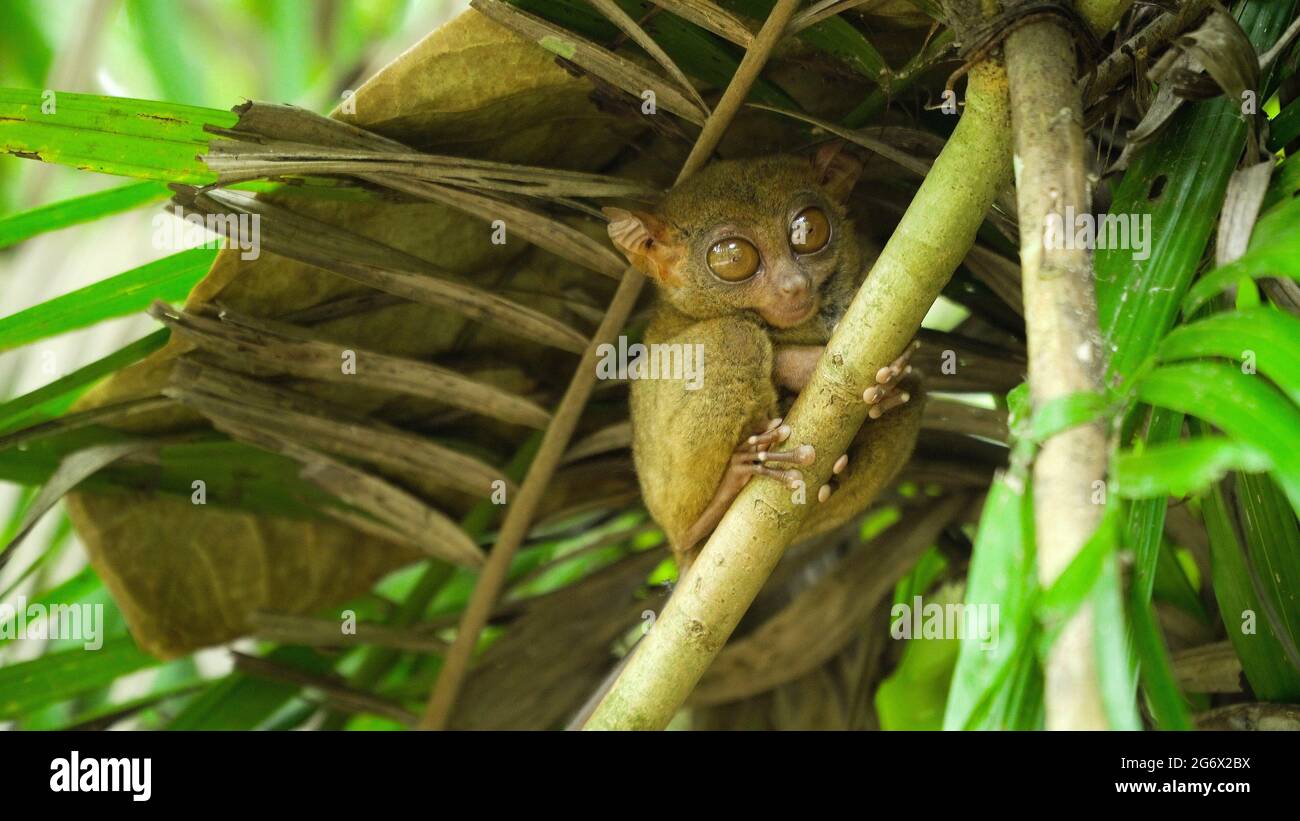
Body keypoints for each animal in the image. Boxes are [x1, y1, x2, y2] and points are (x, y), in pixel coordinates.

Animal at [604, 143, 924, 575]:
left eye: (809, 231)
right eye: (733, 259)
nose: (794, 285)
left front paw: (887, 386)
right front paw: (810, 366)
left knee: (913, 398)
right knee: (734, 339)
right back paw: (715, 504)